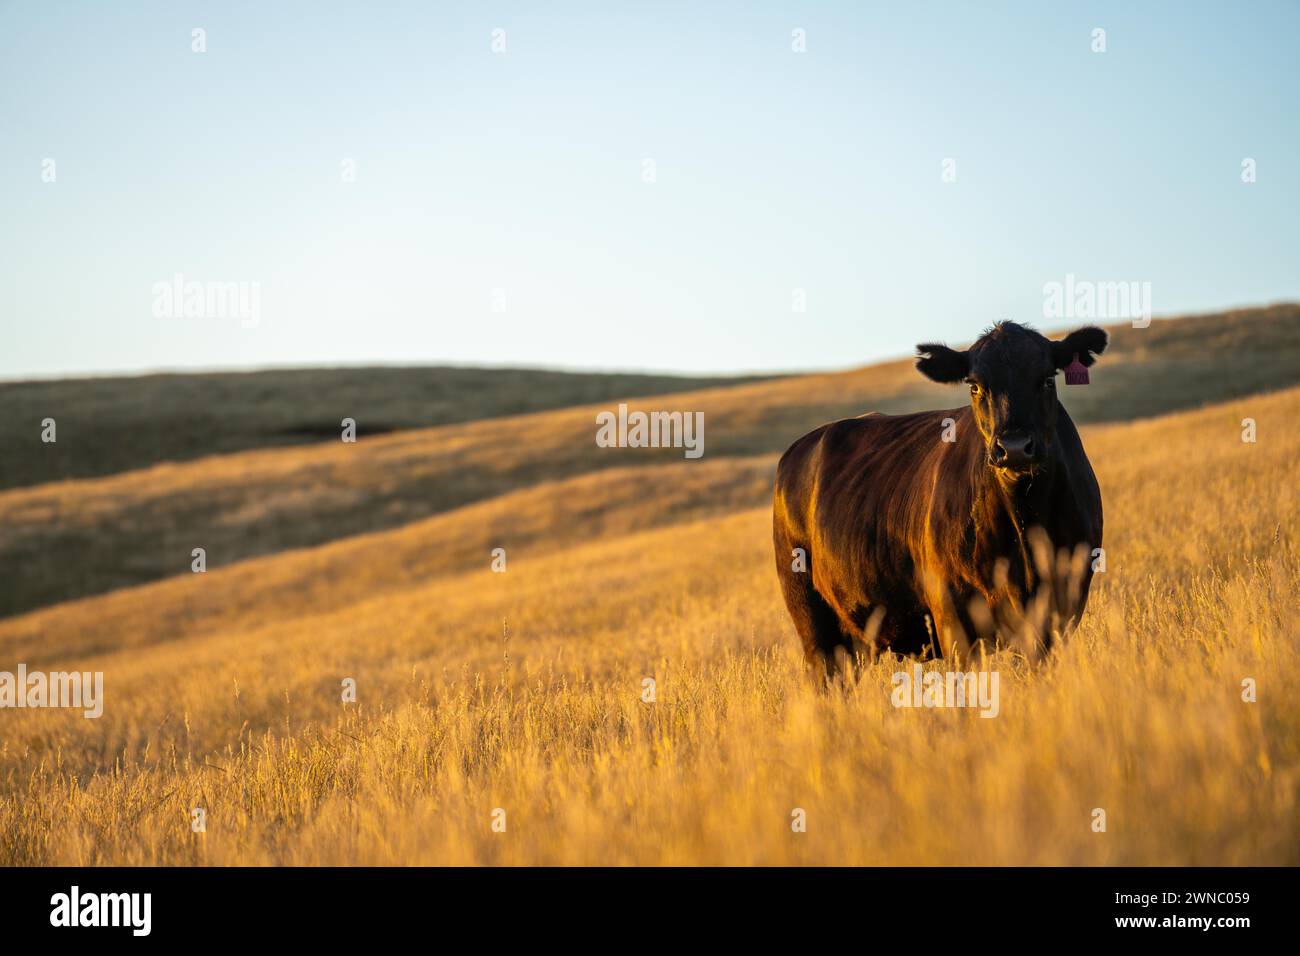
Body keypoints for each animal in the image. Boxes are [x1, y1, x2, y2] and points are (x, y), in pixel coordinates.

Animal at [772, 321, 1107, 676]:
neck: (1024, 520)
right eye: (975, 386)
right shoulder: (953, 620)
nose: (1014, 447)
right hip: (813, 621)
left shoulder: (1061, 610)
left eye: (1047, 379)